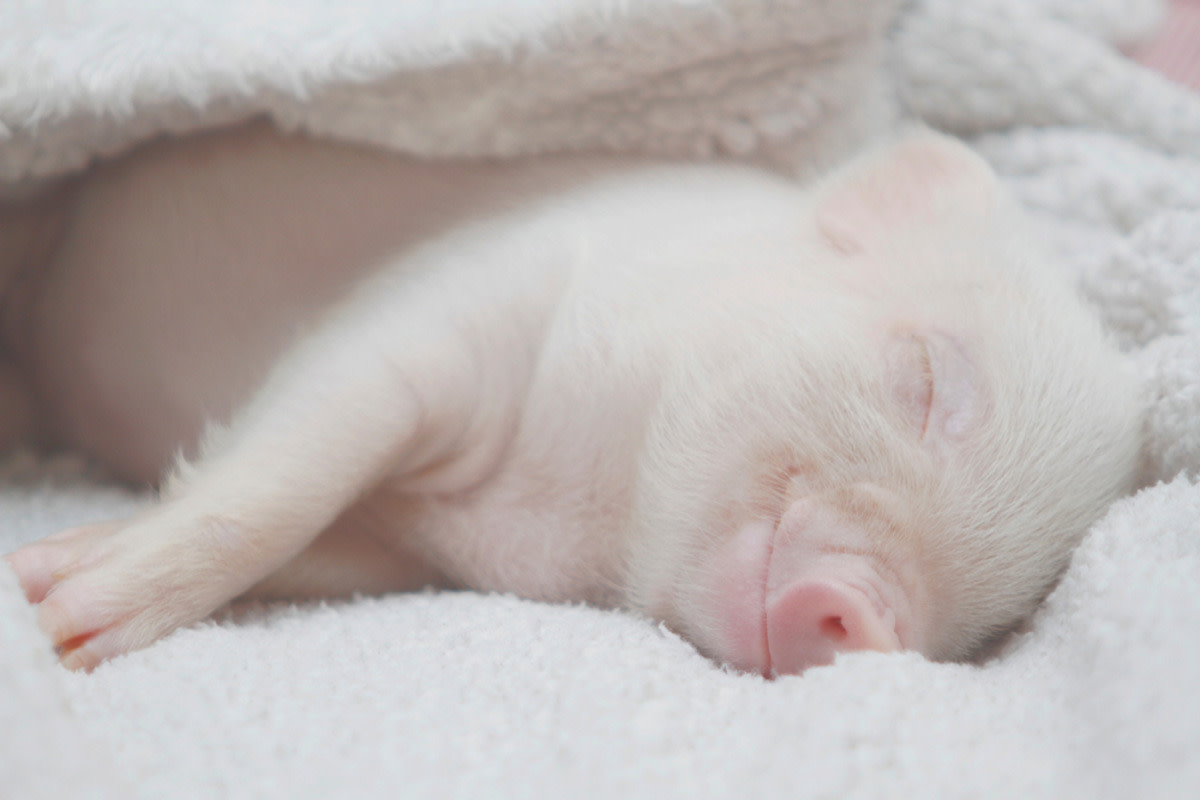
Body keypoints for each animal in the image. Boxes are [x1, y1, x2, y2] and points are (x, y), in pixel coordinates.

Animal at [0, 123, 1142, 675]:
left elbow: (308, 531)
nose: (868, 612)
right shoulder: (448, 301)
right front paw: (56, 613)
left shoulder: (396, 550)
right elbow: (295, 464)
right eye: (929, 380)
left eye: (1002, 618)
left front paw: (60, 566)